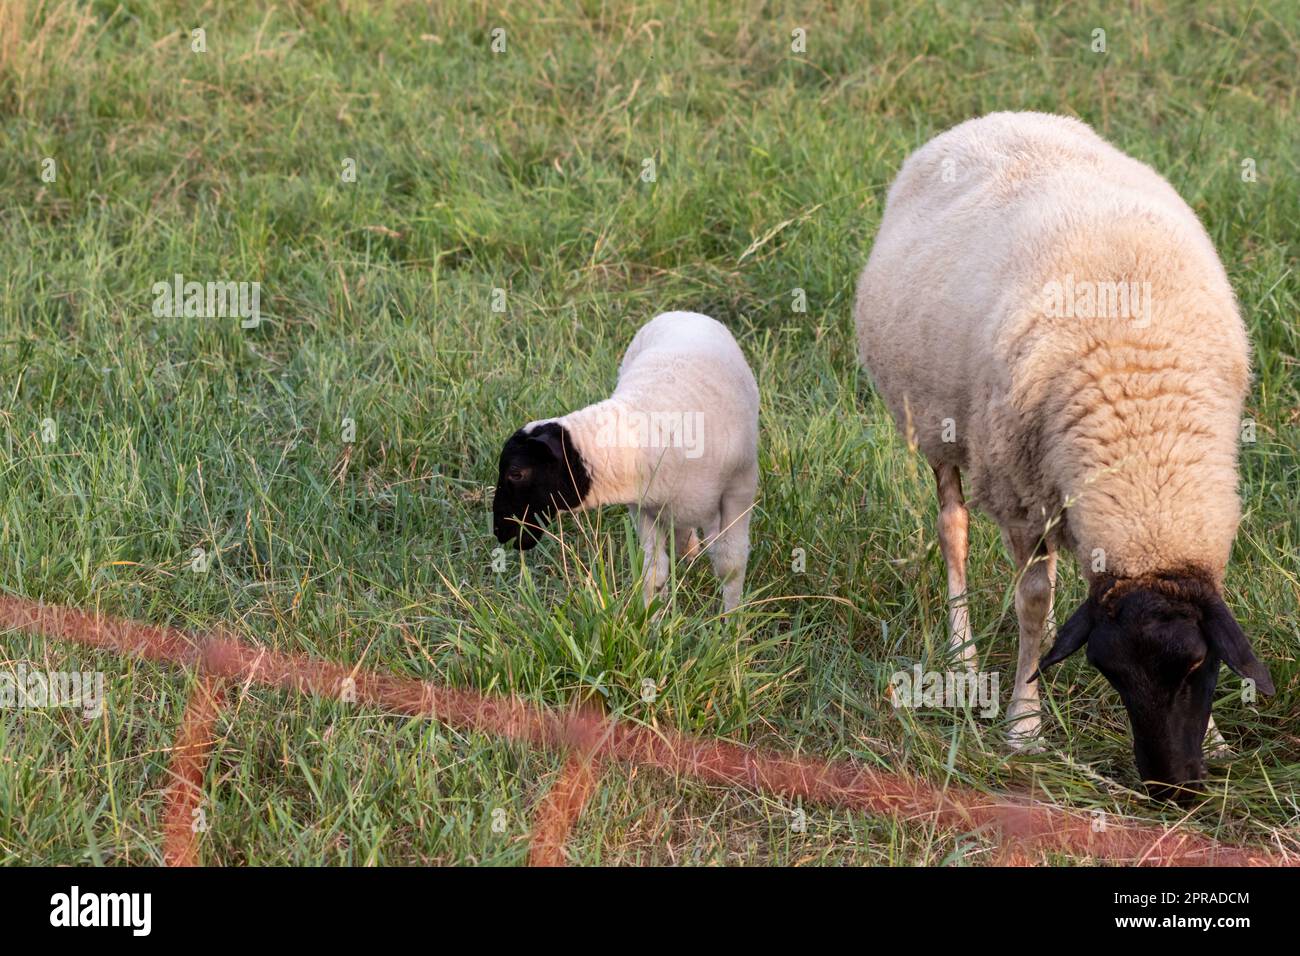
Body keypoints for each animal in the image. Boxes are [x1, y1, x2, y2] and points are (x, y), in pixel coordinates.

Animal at [492, 311, 759, 612]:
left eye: (516, 473)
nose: (500, 531)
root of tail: (681, 313)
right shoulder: (644, 507)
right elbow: (654, 573)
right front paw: (653, 619)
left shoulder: (739, 489)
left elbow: (731, 565)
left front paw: (731, 620)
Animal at [855, 111, 1274, 798]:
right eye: (1114, 676)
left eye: (1197, 666)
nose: (1171, 789)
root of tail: (995, 117)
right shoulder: (1021, 491)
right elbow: (1029, 602)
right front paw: (1024, 726)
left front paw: (1216, 737)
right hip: (939, 422)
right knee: (953, 528)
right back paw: (963, 654)